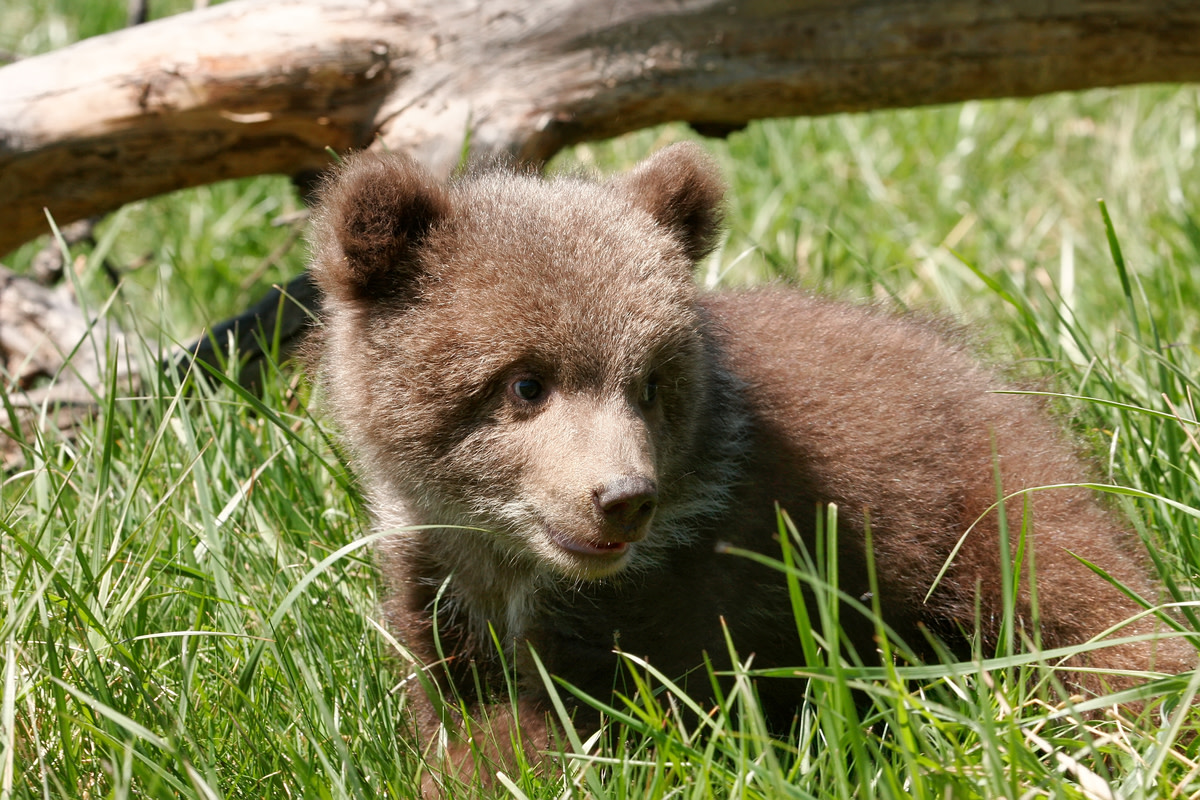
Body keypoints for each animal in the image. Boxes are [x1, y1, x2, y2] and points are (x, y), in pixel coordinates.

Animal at [306, 142, 1193, 789]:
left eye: (650, 381)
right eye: (525, 381)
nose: (621, 497)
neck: (515, 567)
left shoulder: (702, 584)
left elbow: (615, 720)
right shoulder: (438, 590)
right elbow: (467, 716)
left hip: (992, 505)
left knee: (1092, 611)